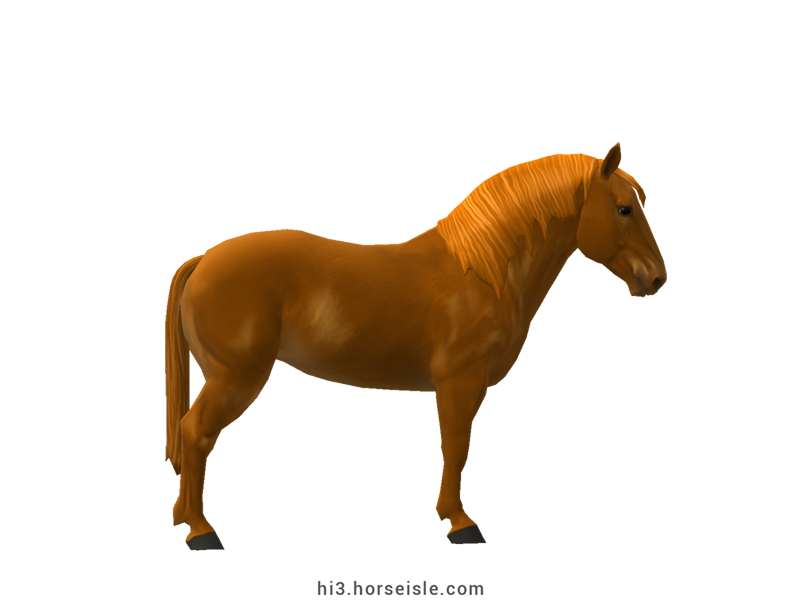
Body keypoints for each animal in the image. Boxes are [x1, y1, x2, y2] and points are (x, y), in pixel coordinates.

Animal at [166, 150, 667, 542]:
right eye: (624, 209)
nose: (655, 277)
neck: (485, 271)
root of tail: (204, 261)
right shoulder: (460, 378)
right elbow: (457, 443)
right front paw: (458, 521)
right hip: (232, 377)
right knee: (195, 432)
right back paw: (200, 529)